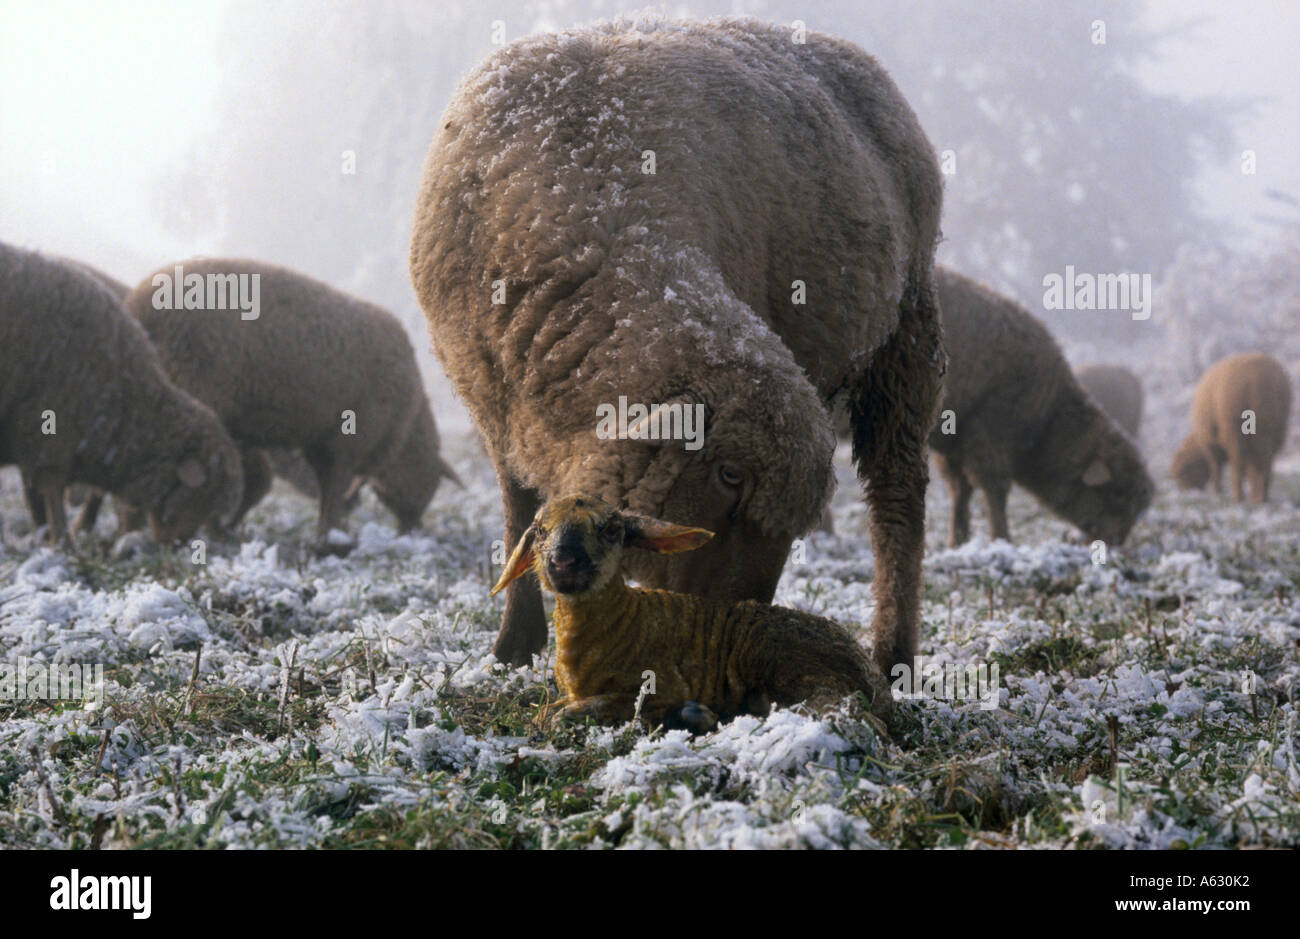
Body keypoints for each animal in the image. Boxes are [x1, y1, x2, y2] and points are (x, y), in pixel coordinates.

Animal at [123, 258, 457, 548]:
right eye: (432, 483)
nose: (413, 529)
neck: (406, 424)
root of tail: (140, 305)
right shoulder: (348, 441)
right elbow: (331, 492)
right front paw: (330, 538)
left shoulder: (319, 445)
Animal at [411, 16, 946, 674]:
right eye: (728, 475)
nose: (742, 617)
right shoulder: (492, 401)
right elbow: (519, 516)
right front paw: (514, 646)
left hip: (908, 332)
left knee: (898, 499)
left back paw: (893, 653)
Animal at [491, 495, 893, 731]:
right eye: (539, 530)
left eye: (611, 530)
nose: (562, 562)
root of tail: (875, 681)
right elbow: (552, 707)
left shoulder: (656, 687)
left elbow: (576, 711)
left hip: (779, 659)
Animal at [928, 266, 1153, 547]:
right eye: (1117, 495)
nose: (1115, 542)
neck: (1047, 418)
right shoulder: (990, 432)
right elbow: (994, 489)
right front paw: (1001, 539)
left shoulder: (956, 441)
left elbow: (960, 490)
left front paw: (958, 541)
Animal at [1172, 352, 1291, 503]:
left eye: (1184, 473)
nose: (1186, 491)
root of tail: (1255, 376)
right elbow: (1250, 467)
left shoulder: (1211, 446)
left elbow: (1216, 467)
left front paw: (1217, 491)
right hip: (1272, 427)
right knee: (1265, 459)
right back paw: (1261, 495)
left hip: (1235, 427)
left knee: (1239, 460)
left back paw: (1238, 495)